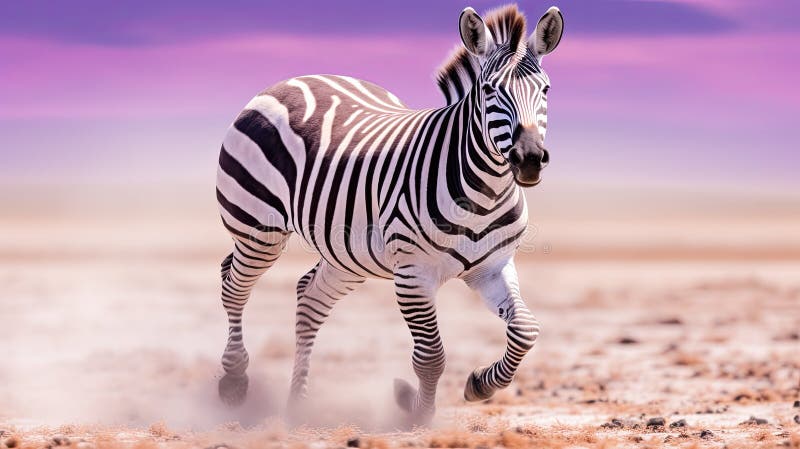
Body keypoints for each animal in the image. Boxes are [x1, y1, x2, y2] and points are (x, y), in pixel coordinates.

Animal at [215, 4, 564, 422]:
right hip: (257, 228)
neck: (485, 192)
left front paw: (479, 384)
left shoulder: (492, 267)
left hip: (348, 254)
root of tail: (295, 80)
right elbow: (430, 357)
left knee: (309, 296)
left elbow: (526, 331)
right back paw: (234, 381)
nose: (528, 160)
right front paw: (418, 416)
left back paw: (297, 404)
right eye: (489, 90)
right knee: (233, 285)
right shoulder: (413, 274)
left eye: (545, 90)